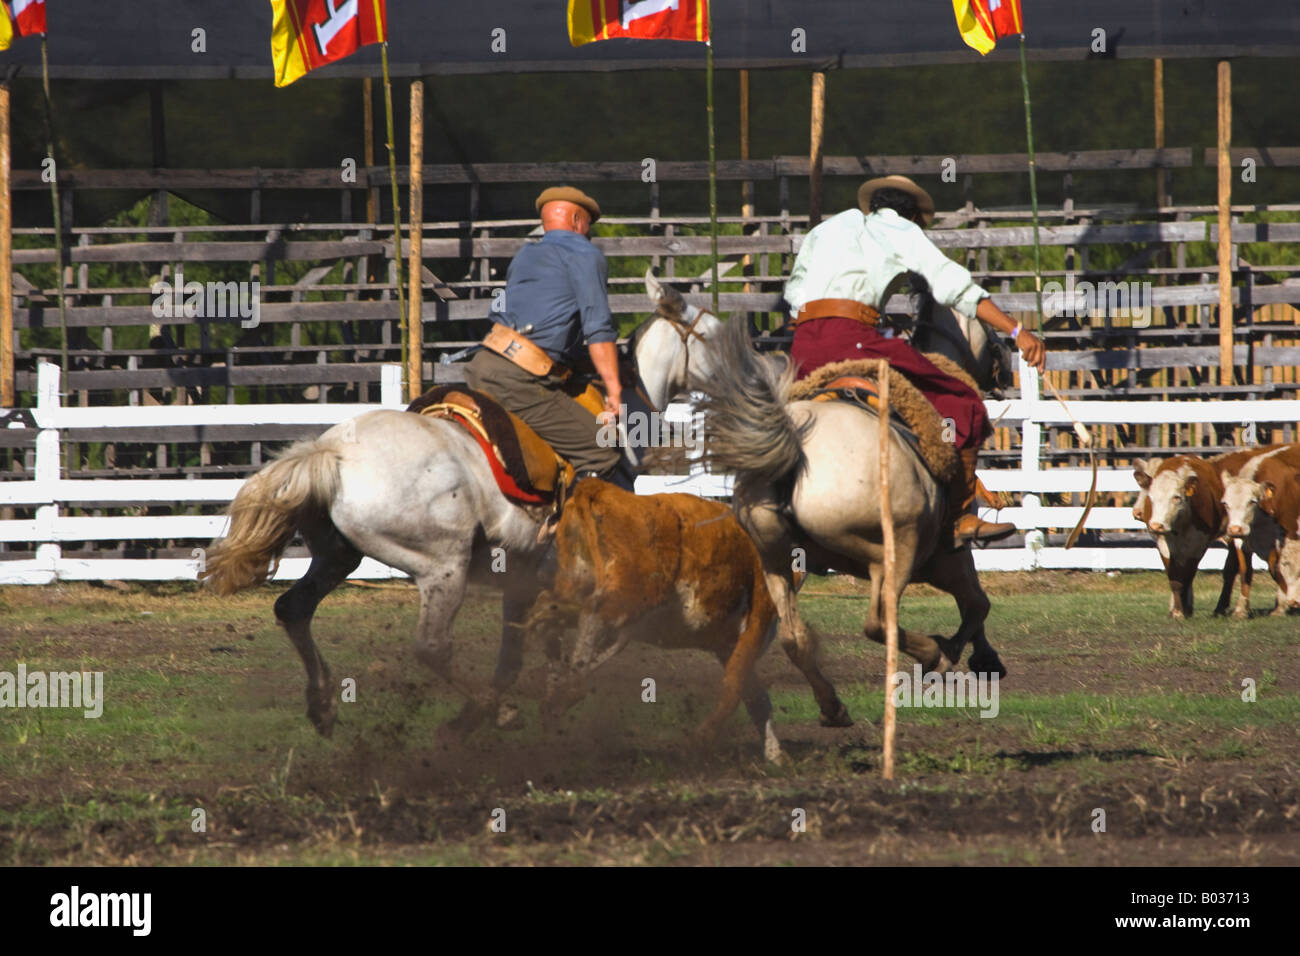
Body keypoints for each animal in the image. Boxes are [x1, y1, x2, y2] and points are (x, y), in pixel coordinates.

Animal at [524, 480, 787, 763]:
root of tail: (597, 489)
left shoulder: (726, 644)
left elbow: (756, 696)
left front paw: (775, 754)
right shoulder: (758, 620)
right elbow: (735, 688)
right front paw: (701, 739)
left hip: (576, 583)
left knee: (550, 610)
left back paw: (554, 694)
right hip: (634, 594)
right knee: (593, 615)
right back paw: (569, 691)